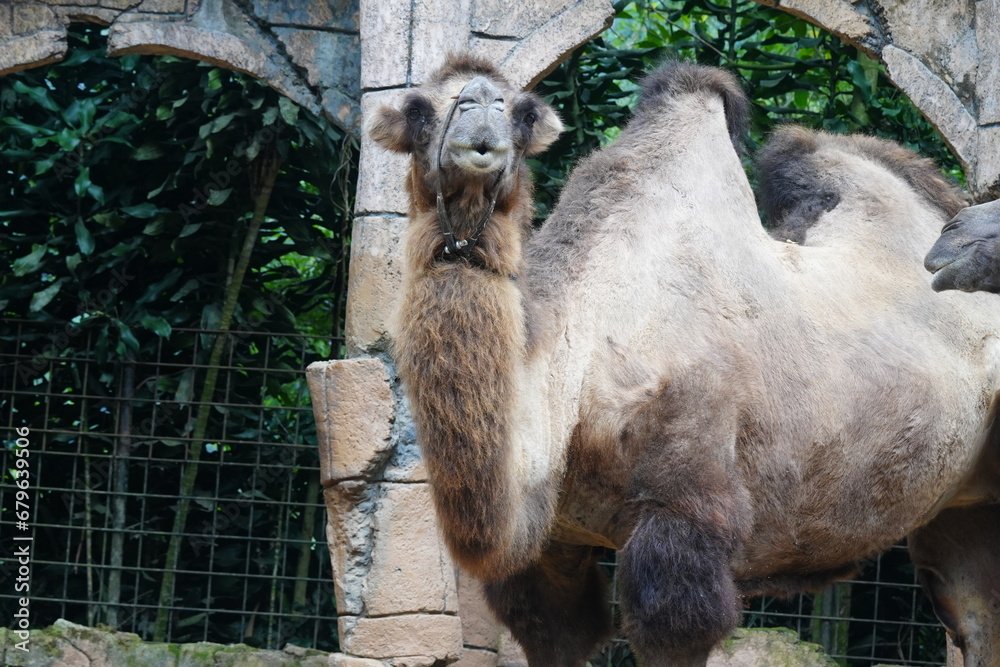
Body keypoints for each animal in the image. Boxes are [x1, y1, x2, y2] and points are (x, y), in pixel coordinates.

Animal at [366, 55, 1000, 666]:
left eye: (520, 112)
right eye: (418, 109)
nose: (481, 108)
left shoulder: (687, 513)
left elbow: (676, 618)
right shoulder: (550, 551)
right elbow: (555, 631)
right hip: (960, 507)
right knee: (976, 616)